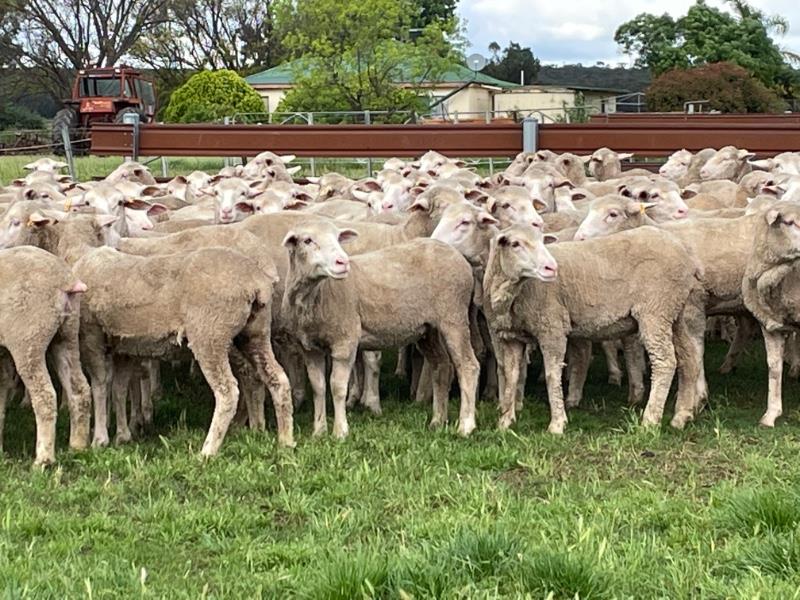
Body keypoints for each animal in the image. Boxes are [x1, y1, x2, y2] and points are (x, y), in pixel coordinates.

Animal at [0, 246, 91, 465]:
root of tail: (65, 281)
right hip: (67, 334)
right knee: (80, 389)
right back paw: (78, 446)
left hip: (29, 338)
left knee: (45, 396)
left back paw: (44, 460)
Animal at [281, 220, 479, 438]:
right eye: (307, 240)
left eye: (338, 238)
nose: (343, 262)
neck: (319, 293)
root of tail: (458, 256)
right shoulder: (309, 348)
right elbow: (318, 388)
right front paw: (318, 431)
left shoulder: (344, 341)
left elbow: (337, 387)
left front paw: (340, 431)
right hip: (428, 329)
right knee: (441, 366)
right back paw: (438, 420)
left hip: (454, 316)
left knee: (468, 366)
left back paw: (465, 426)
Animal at [483, 224, 703, 432]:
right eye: (515, 244)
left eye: (542, 241)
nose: (551, 268)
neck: (514, 292)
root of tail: (685, 254)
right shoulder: (511, 337)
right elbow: (510, 375)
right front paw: (505, 422)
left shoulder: (551, 328)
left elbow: (552, 375)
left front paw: (557, 424)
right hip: (675, 312)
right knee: (689, 357)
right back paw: (681, 416)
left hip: (656, 310)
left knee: (665, 361)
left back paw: (650, 420)